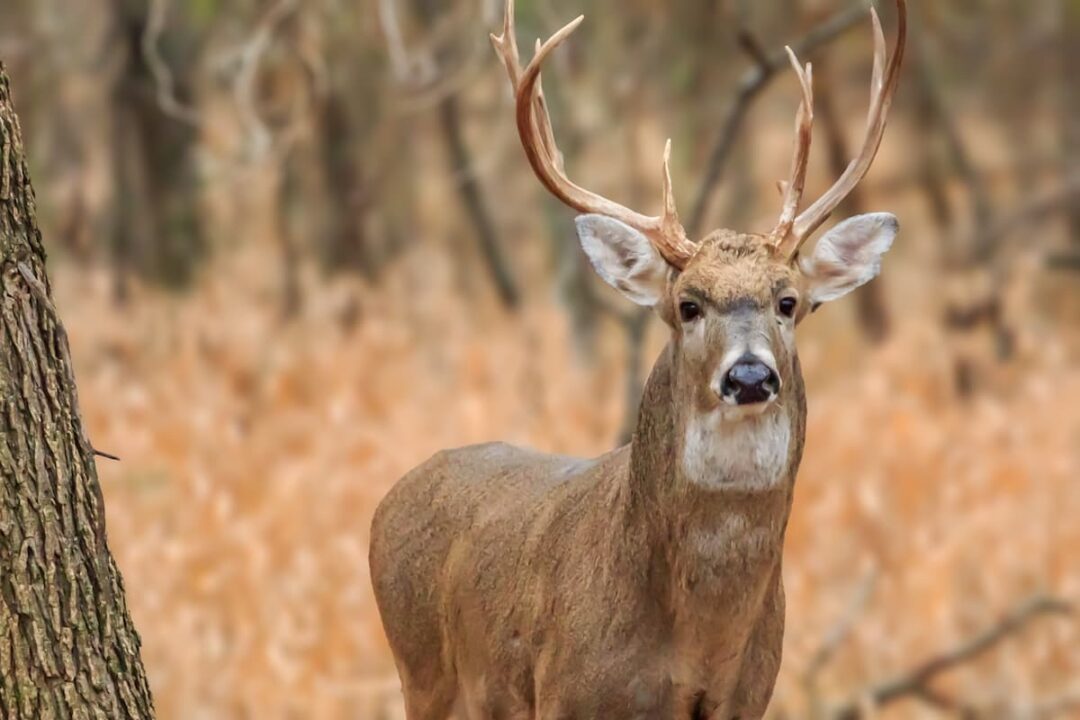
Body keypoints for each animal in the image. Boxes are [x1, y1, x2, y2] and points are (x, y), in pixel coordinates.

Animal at [370, 1, 906, 717]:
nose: (749, 375)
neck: (700, 642)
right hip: (424, 674)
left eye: (789, 301)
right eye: (688, 304)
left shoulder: (751, 695)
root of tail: (390, 499)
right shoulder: (568, 692)